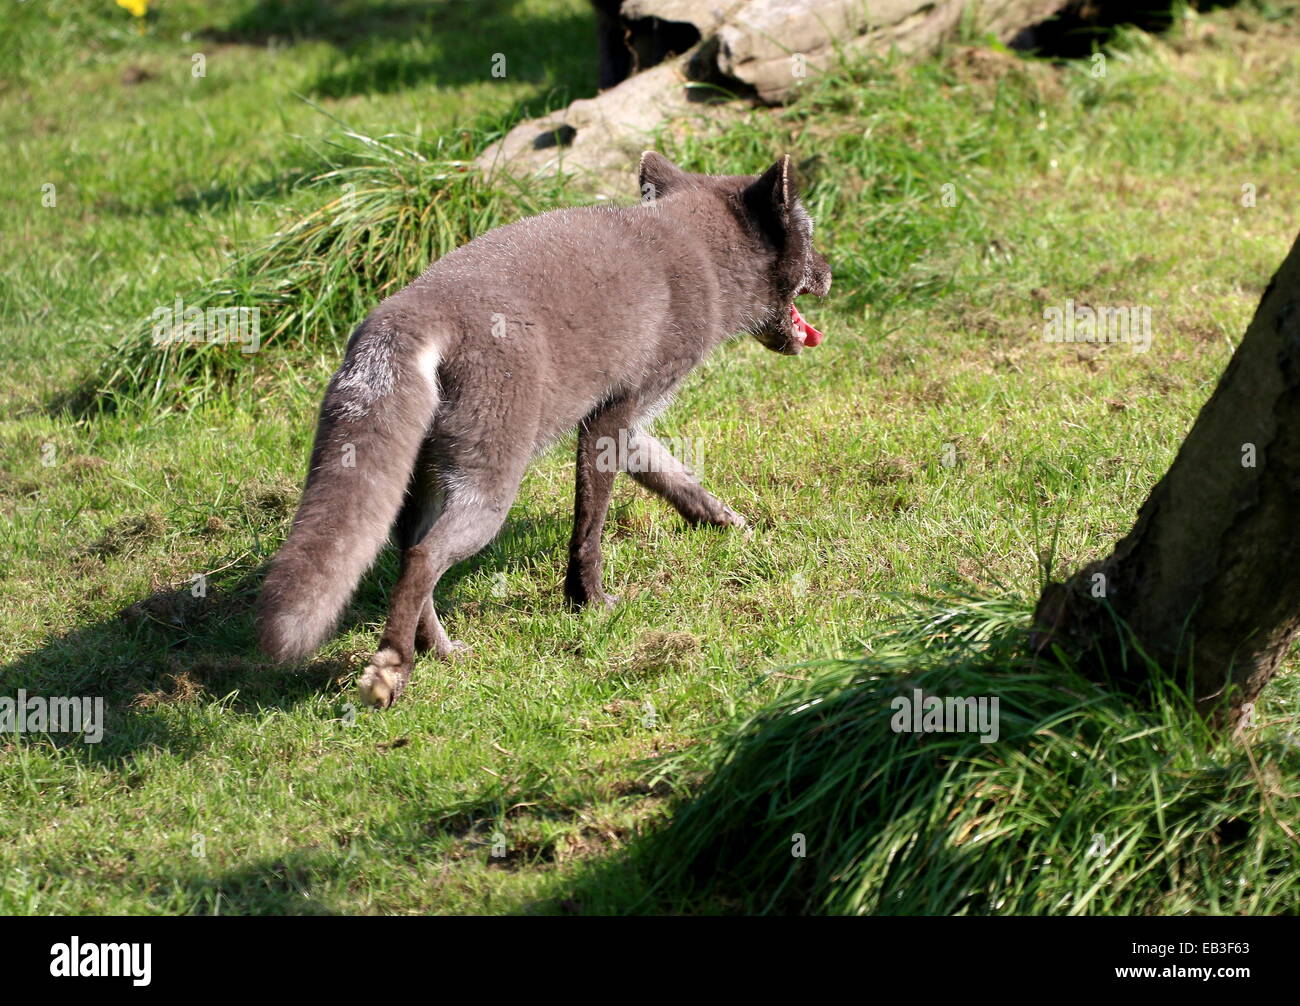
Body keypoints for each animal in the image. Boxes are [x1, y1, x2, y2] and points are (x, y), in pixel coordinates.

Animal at [256, 151, 832, 708]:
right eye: (809, 233)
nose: (833, 272)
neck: (704, 255)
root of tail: (405, 315)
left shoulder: (622, 419)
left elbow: (672, 474)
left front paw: (725, 520)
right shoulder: (612, 415)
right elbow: (590, 528)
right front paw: (588, 601)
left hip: (428, 482)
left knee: (408, 557)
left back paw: (439, 651)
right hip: (489, 491)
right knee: (423, 559)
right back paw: (391, 669)